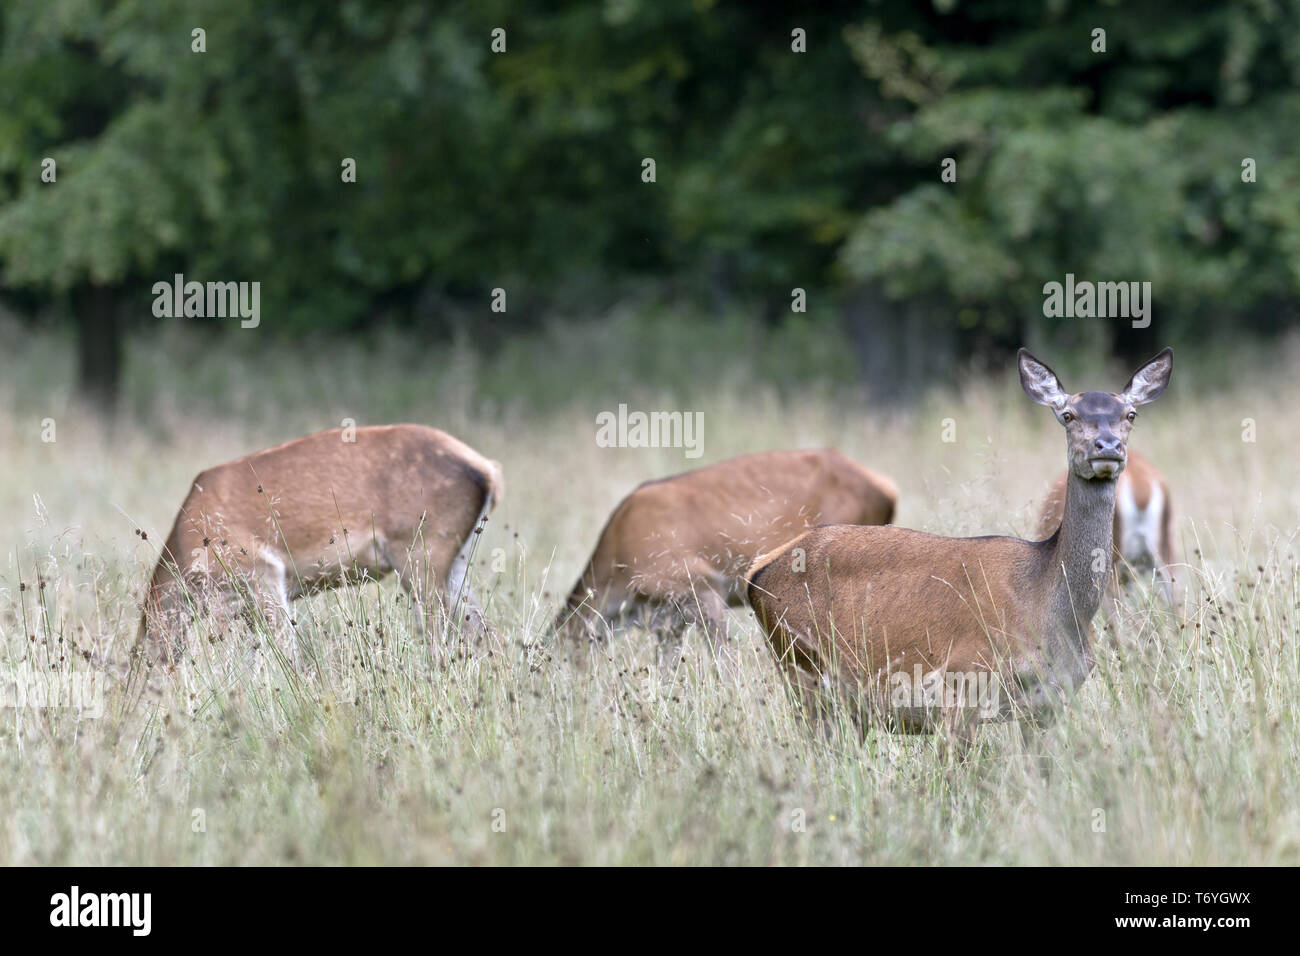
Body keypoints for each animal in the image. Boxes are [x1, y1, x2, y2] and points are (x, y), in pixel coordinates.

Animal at [137, 424, 503, 665]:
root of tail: (489, 471)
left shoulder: (261, 571)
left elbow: (286, 654)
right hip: (454, 561)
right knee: (486, 633)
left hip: (421, 552)